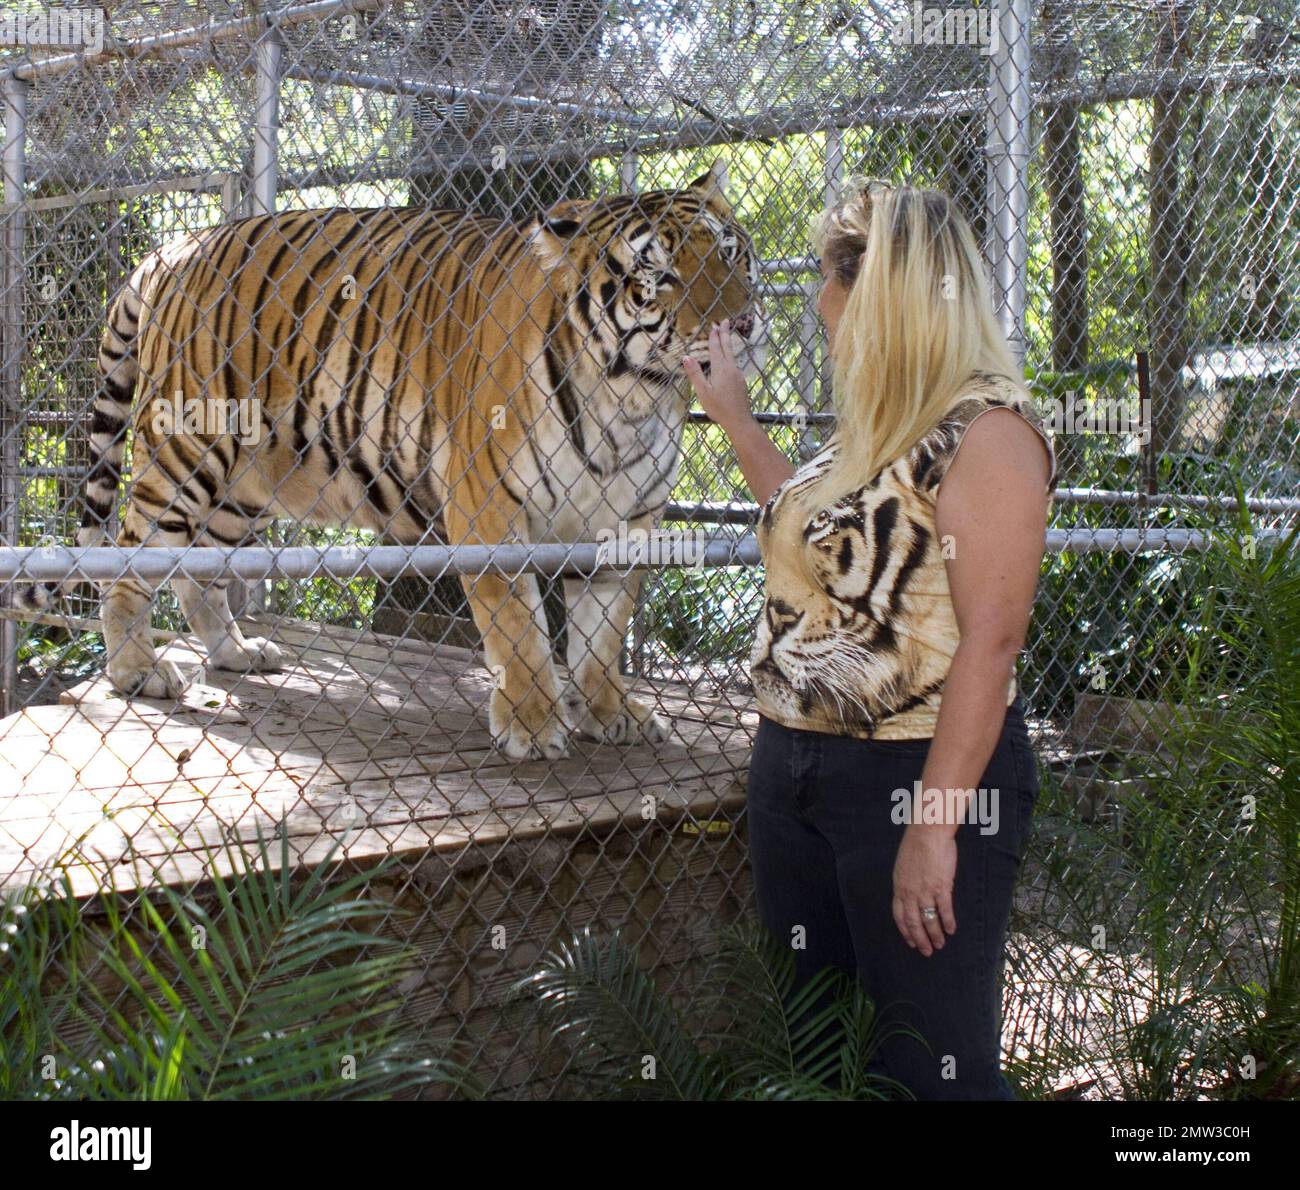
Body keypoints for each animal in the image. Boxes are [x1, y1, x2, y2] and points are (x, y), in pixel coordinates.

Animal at [20, 158, 769, 760]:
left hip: (245, 483)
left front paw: (611, 712)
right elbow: (520, 628)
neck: (632, 396)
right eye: (658, 277)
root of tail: (175, 247)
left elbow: (603, 636)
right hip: (187, 450)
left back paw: (238, 654)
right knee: (129, 555)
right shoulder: (490, 508)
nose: (741, 325)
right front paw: (532, 723)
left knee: (198, 573)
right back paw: (136, 669)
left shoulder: (625, 523)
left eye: (733, 254)